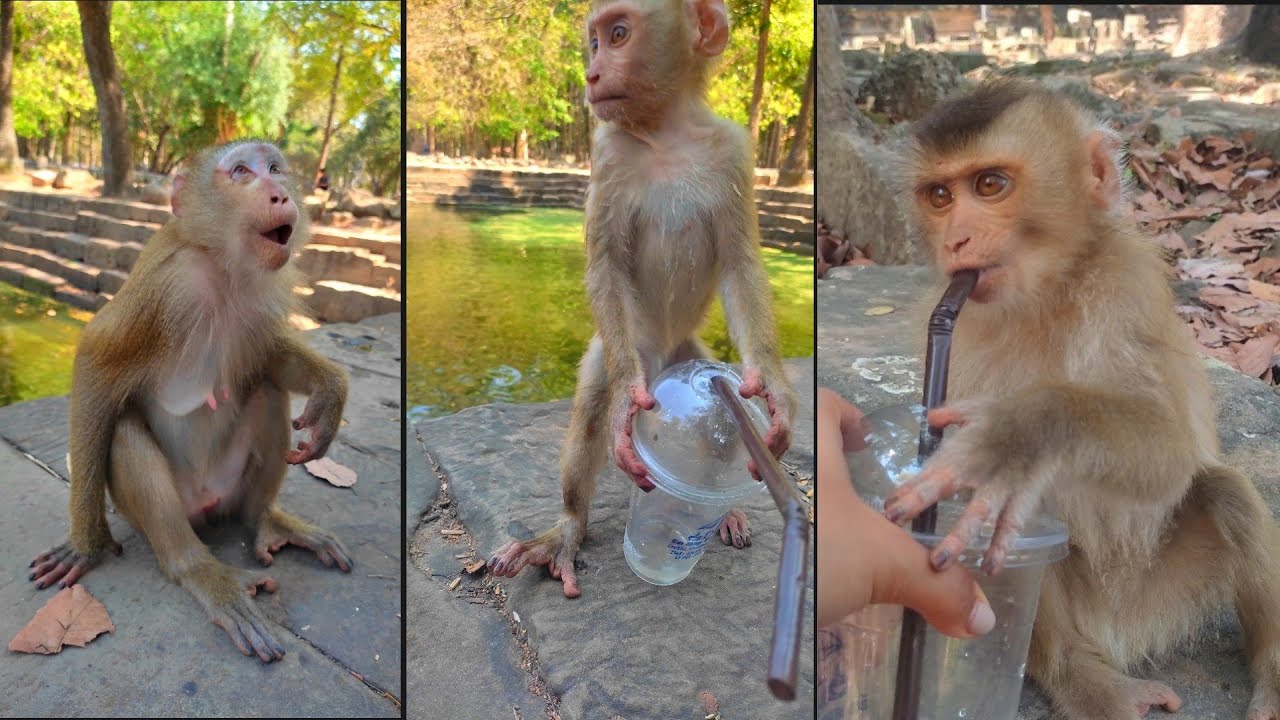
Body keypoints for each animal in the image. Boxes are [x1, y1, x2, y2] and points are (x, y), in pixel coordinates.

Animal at [28, 141, 353, 663]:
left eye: (275, 168)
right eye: (241, 172)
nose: (280, 193)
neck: (222, 267)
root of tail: (208, 505)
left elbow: (267, 357)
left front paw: (330, 389)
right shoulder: (164, 284)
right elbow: (95, 360)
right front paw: (85, 544)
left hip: (230, 484)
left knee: (267, 392)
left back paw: (265, 520)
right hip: (171, 507)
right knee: (123, 434)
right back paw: (198, 570)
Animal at [488, 0, 797, 598]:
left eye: (618, 35)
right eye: (593, 42)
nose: (592, 74)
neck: (667, 133)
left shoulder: (733, 151)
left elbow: (741, 265)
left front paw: (772, 389)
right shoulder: (607, 151)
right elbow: (606, 266)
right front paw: (625, 406)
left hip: (688, 351)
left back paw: (723, 510)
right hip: (632, 349)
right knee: (596, 397)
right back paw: (569, 526)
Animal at [880, 79, 1280, 720]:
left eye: (990, 185)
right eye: (939, 196)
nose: (956, 240)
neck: (1045, 294)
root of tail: (1120, 633)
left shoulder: (1127, 287)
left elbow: (1172, 453)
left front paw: (1022, 431)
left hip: (1168, 591)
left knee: (1227, 492)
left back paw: (1271, 676)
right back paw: (1081, 675)